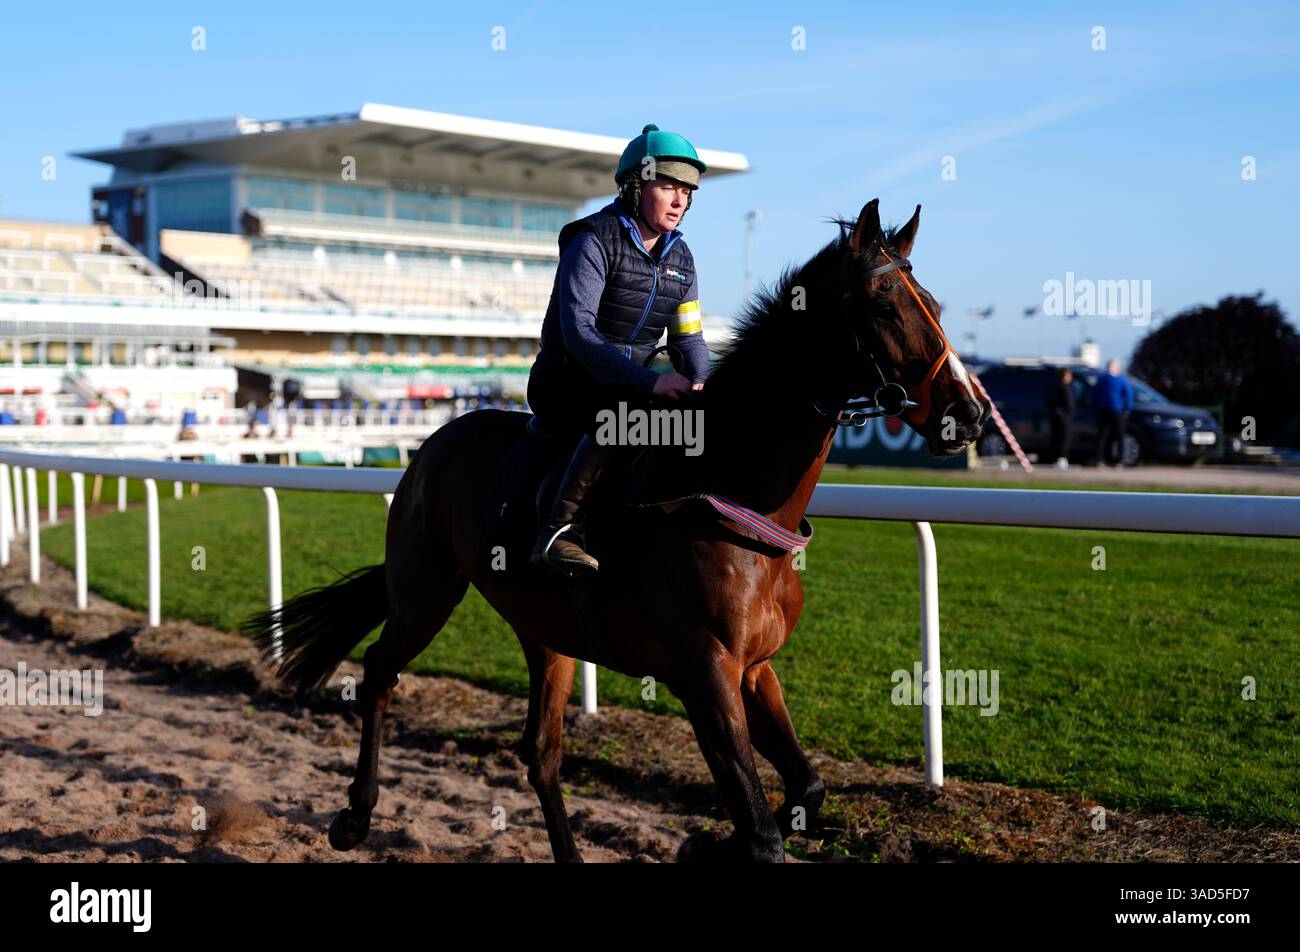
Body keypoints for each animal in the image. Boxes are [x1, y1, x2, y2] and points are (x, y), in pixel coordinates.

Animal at [243, 199, 991, 863]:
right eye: (884, 305)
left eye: (935, 304)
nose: (971, 412)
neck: (731, 494)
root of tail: (432, 444)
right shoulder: (702, 672)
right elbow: (760, 834)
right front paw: (714, 842)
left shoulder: (755, 668)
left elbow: (807, 787)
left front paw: (703, 843)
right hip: (426, 589)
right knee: (378, 672)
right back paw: (354, 816)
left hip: (545, 630)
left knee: (540, 753)